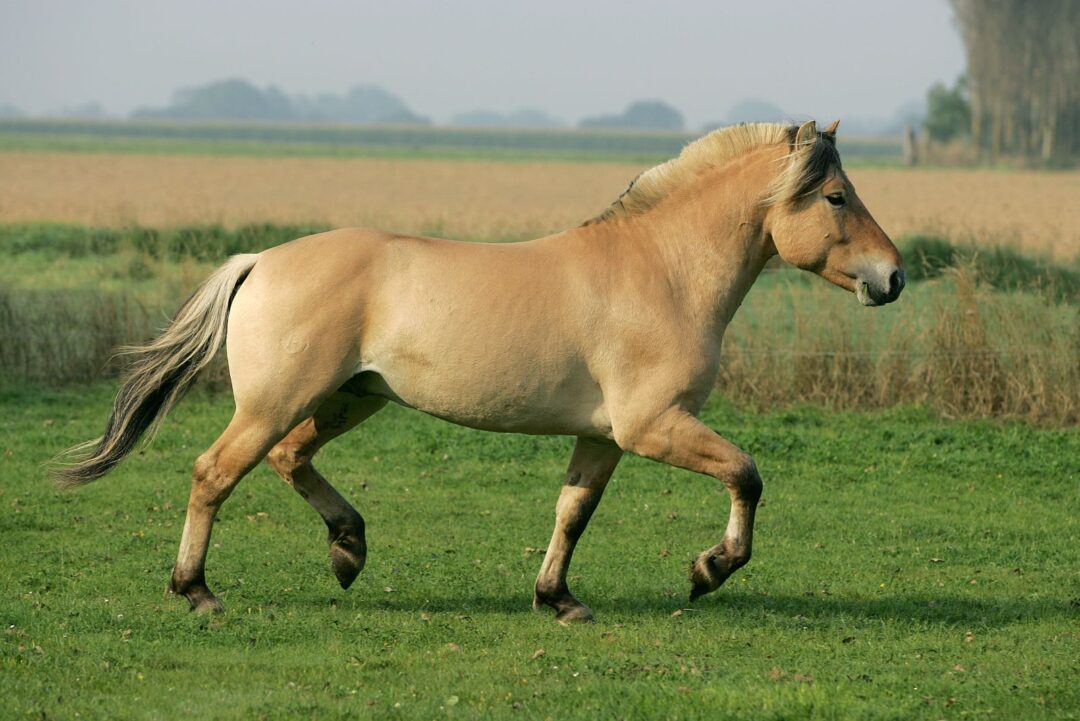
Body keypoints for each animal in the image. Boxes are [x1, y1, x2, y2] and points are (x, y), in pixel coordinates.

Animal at [55, 120, 905, 622]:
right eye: (836, 196)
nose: (893, 277)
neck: (661, 271)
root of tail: (260, 260)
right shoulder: (653, 425)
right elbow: (746, 475)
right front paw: (708, 569)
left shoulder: (604, 437)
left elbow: (573, 513)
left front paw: (558, 598)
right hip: (277, 401)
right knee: (214, 472)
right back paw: (197, 588)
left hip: (347, 399)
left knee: (289, 458)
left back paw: (348, 548)